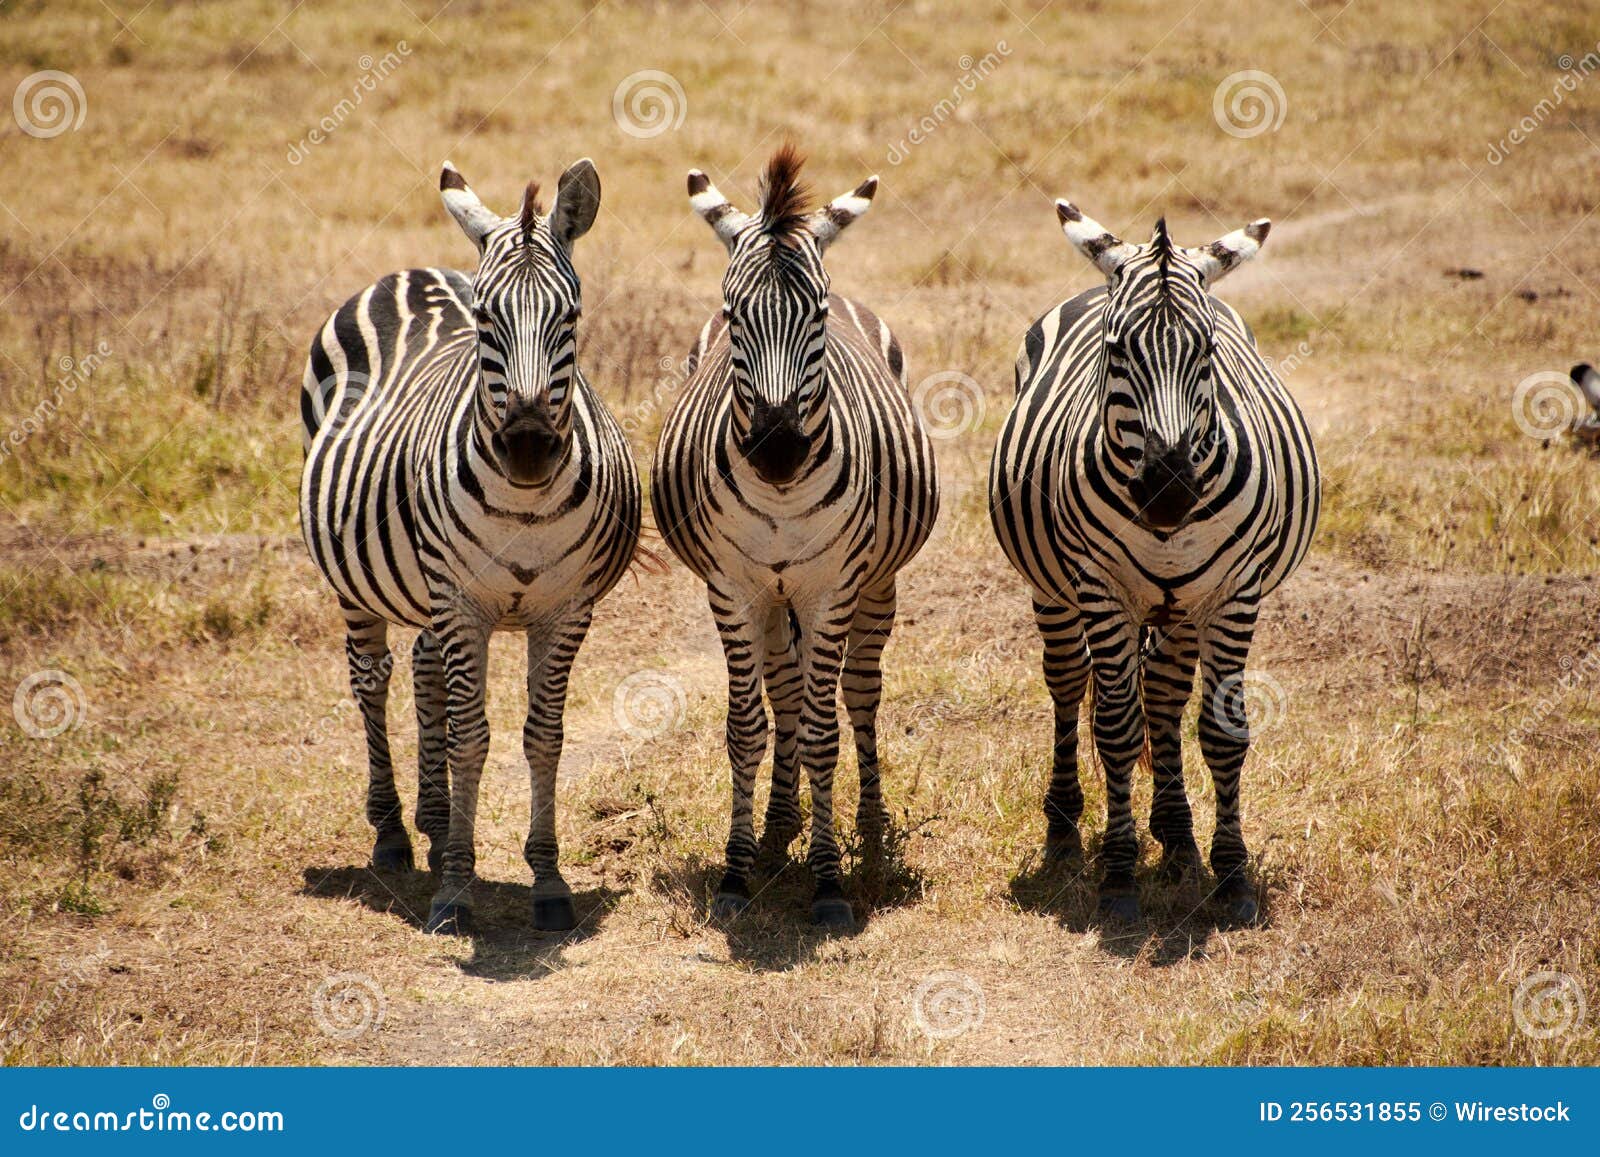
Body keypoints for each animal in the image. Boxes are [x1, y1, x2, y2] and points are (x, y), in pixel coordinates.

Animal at [298, 159, 641, 935]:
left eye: (570, 318)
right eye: (486, 319)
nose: (528, 449)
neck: (525, 507)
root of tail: (412, 270)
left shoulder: (566, 611)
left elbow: (543, 736)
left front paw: (547, 880)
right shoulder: (462, 605)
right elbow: (470, 738)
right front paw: (455, 887)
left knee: (423, 668)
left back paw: (433, 818)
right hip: (362, 582)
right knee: (371, 677)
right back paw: (395, 832)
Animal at [652, 146, 939, 930]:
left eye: (814, 314)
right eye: (733, 315)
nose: (777, 449)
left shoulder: (831, 589)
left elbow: (822, 732)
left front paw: (830, 880)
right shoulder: (732, 588)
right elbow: (748, 725)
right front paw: (736, 869)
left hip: (874, 587)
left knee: (859, 693)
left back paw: (865, 830)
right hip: (772, 598)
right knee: (783, 691)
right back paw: (780, 823)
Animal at [989, 201, 1319, 925]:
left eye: (1207, 352)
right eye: (1115, 350)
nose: (1168, 489)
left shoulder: (1234, 593)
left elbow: (1221, 731)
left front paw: (1231, 876)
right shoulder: (1100, 588)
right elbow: (1115, 728)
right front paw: (1117, 878)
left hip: (1184, 608)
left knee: (1166, 699)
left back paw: (1178, 837)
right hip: (1055, 592)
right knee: (1068, 684)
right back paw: (1064, 829)